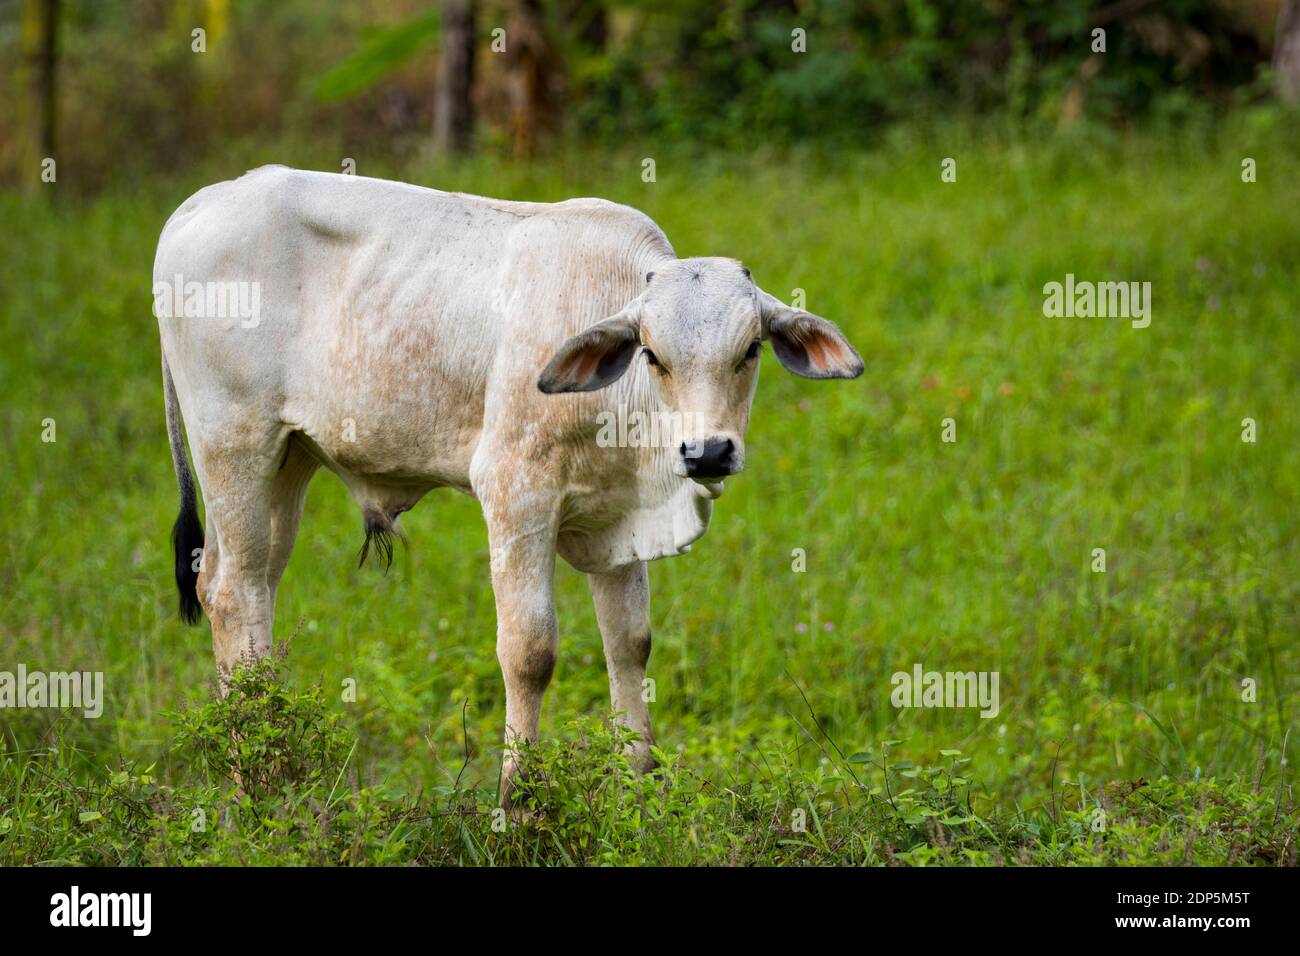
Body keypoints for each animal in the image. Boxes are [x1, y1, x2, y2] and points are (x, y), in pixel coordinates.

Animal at [155, 166, 862, 806]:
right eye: (652, 354)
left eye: (750, 350)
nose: (709, 450)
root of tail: (199, 201)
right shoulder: (515, 495)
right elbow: (530, 652)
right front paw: (516, 802)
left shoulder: (618, 522)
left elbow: (630, 645)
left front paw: (640, 793)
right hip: (233, 446)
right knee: (231, 592)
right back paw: (256, 784)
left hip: (288, 460)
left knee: (251, 590)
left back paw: (269, 763)